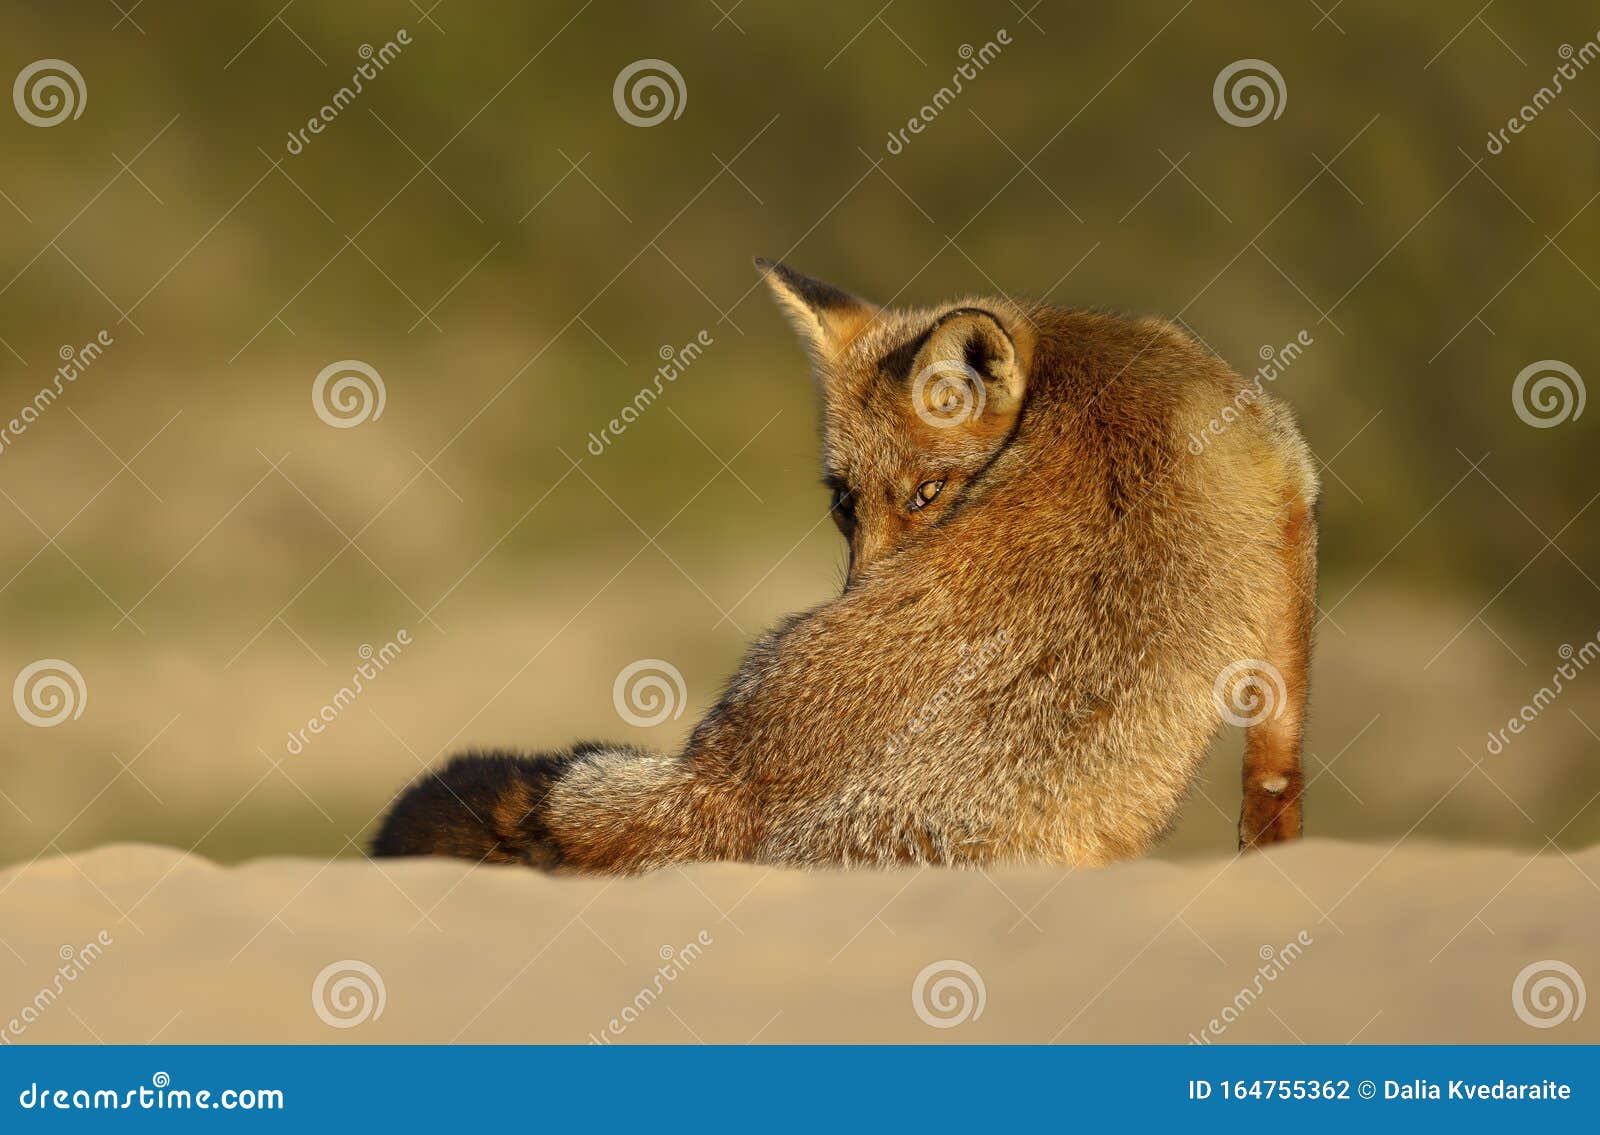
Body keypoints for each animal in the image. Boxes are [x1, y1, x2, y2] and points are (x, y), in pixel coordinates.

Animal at [372, 259, 1319, 873]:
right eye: (844, 504)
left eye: (931, 493)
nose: (866, 593)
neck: (1077, 355)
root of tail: (726, 790)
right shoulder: (1291, 499)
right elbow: (1279, 754)